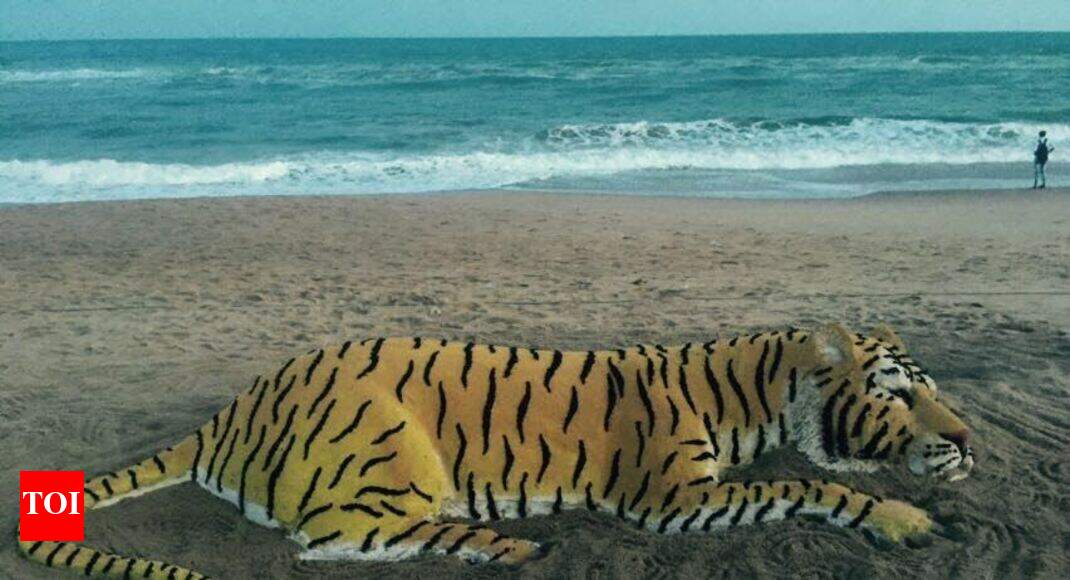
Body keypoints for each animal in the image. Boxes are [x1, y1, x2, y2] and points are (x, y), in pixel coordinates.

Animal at [18, 323, 975, 578]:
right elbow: (820, 491)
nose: (970, 443)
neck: (756, 392)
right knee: (331, 543)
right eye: (899, 392)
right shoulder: (670, 503)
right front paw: (901, 518)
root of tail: (233, 408)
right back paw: (514, 547)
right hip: (395, 444)